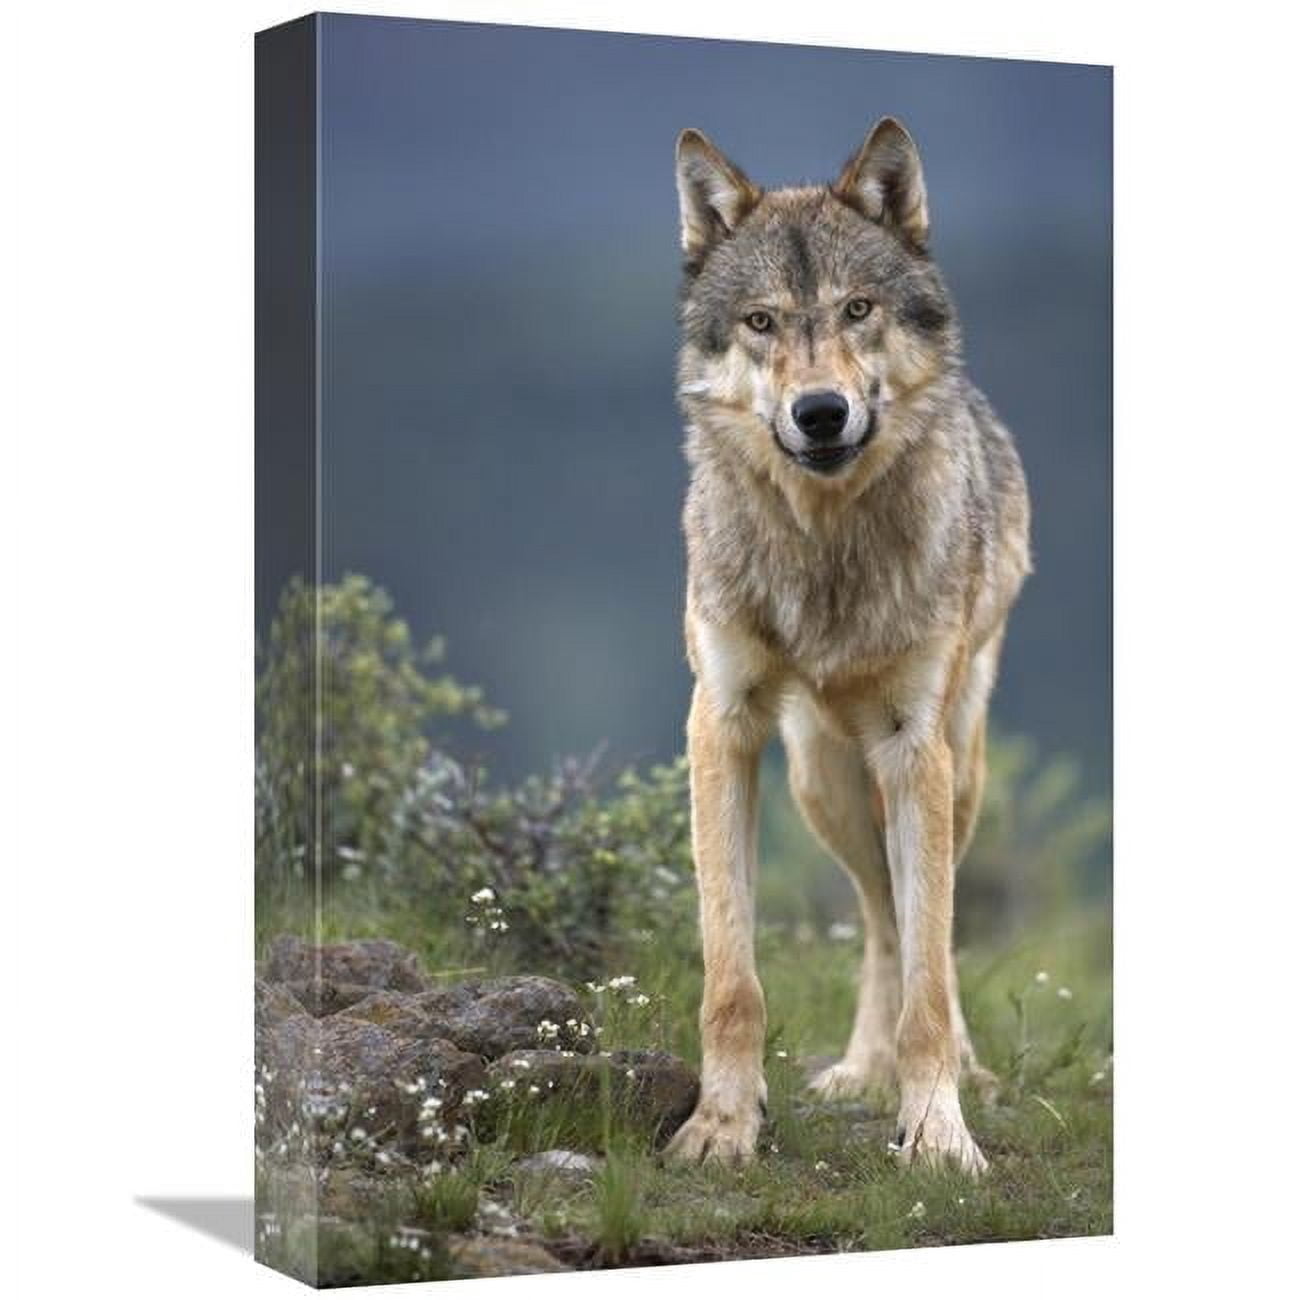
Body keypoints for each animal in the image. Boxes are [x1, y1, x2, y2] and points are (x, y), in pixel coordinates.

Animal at [664, 118, 1031, 1175]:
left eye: (857, 309)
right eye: (761, 322)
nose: (820, 412)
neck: (824, 554)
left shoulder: (913, 747)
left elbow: (930, 975)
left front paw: (940, 1133)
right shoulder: (722, 728)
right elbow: (732, 978)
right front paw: (722, 1127)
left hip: (951, 767)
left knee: (917, 932)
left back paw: (948, 1074)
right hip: (819, 780)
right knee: (878, 915)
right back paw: (863, 1074)